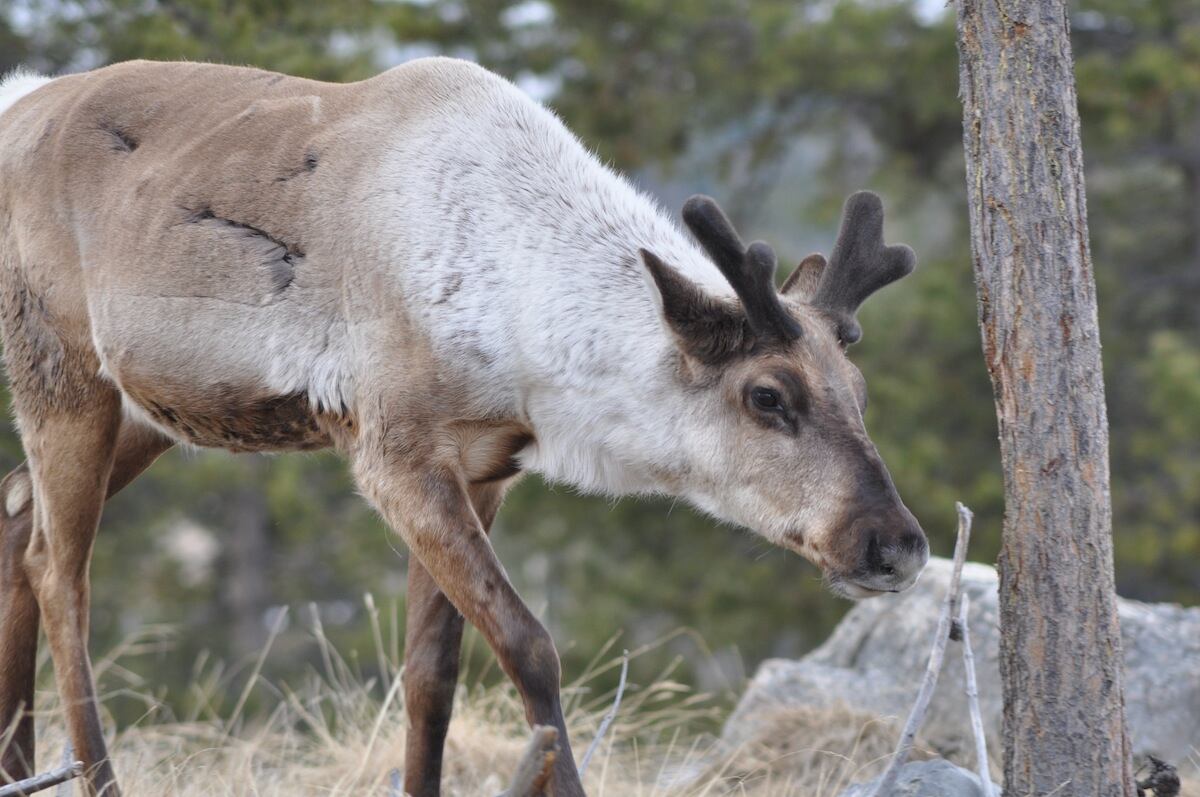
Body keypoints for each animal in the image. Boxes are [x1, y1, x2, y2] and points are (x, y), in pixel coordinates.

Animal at [0, 58, 928, 796]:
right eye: (767, 395)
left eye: (859, 388)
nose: (896, 543)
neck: (515, 315)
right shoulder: (396, 459)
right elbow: (529, 645)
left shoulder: (482, 469)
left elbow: (431, 674)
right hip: (63, 371)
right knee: (61, 570)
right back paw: (93, 776)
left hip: (147, 411)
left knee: (16, 516)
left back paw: (17, 764)